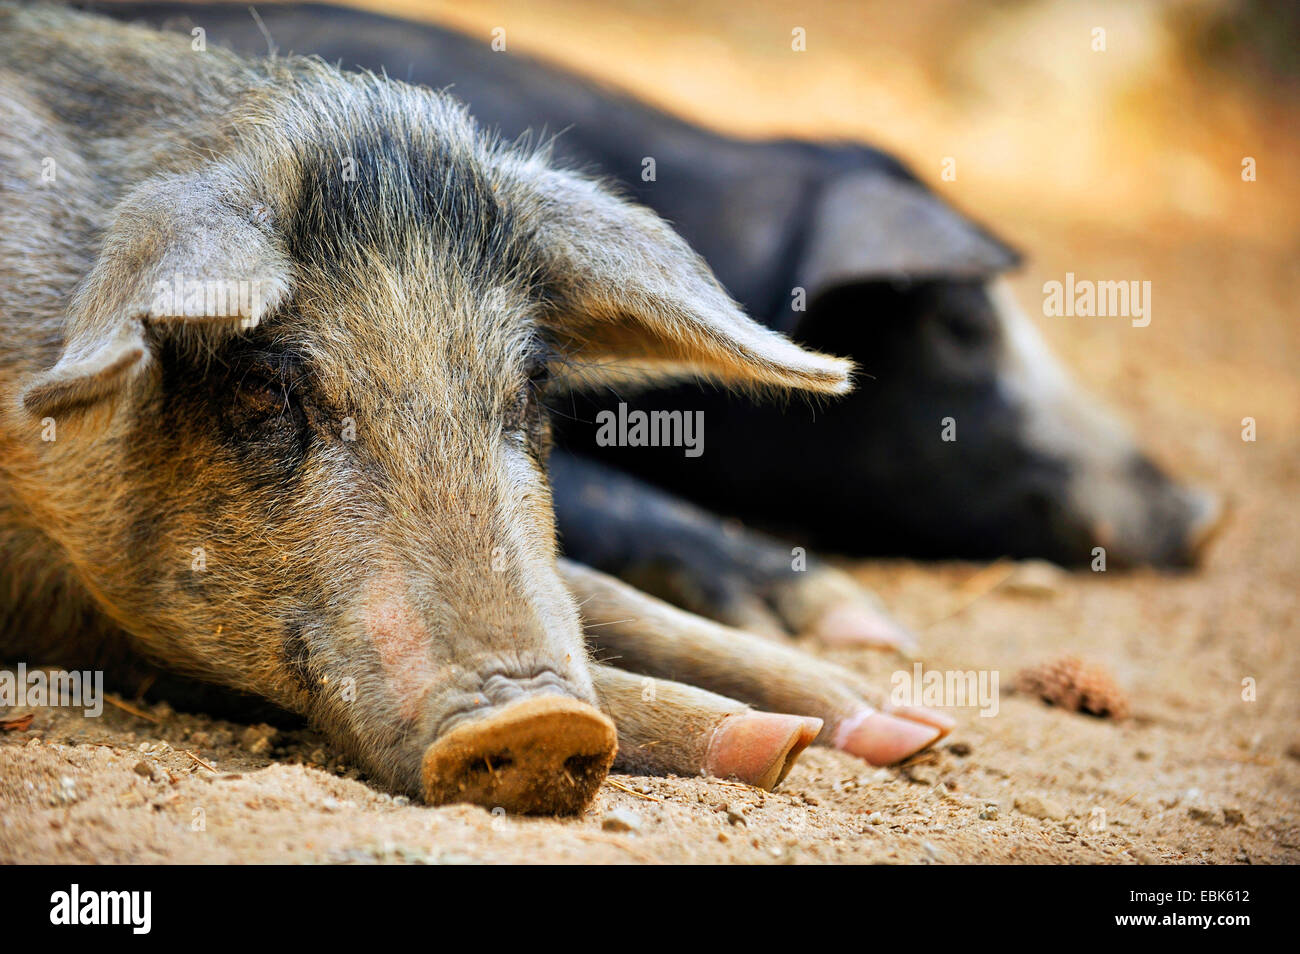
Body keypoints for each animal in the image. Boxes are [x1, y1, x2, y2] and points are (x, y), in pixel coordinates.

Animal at [2, 4, 955, 814]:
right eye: (265, 387)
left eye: (531, 384)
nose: (539, 721)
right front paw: (784, 741)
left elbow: (588, 589)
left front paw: (900, 724)